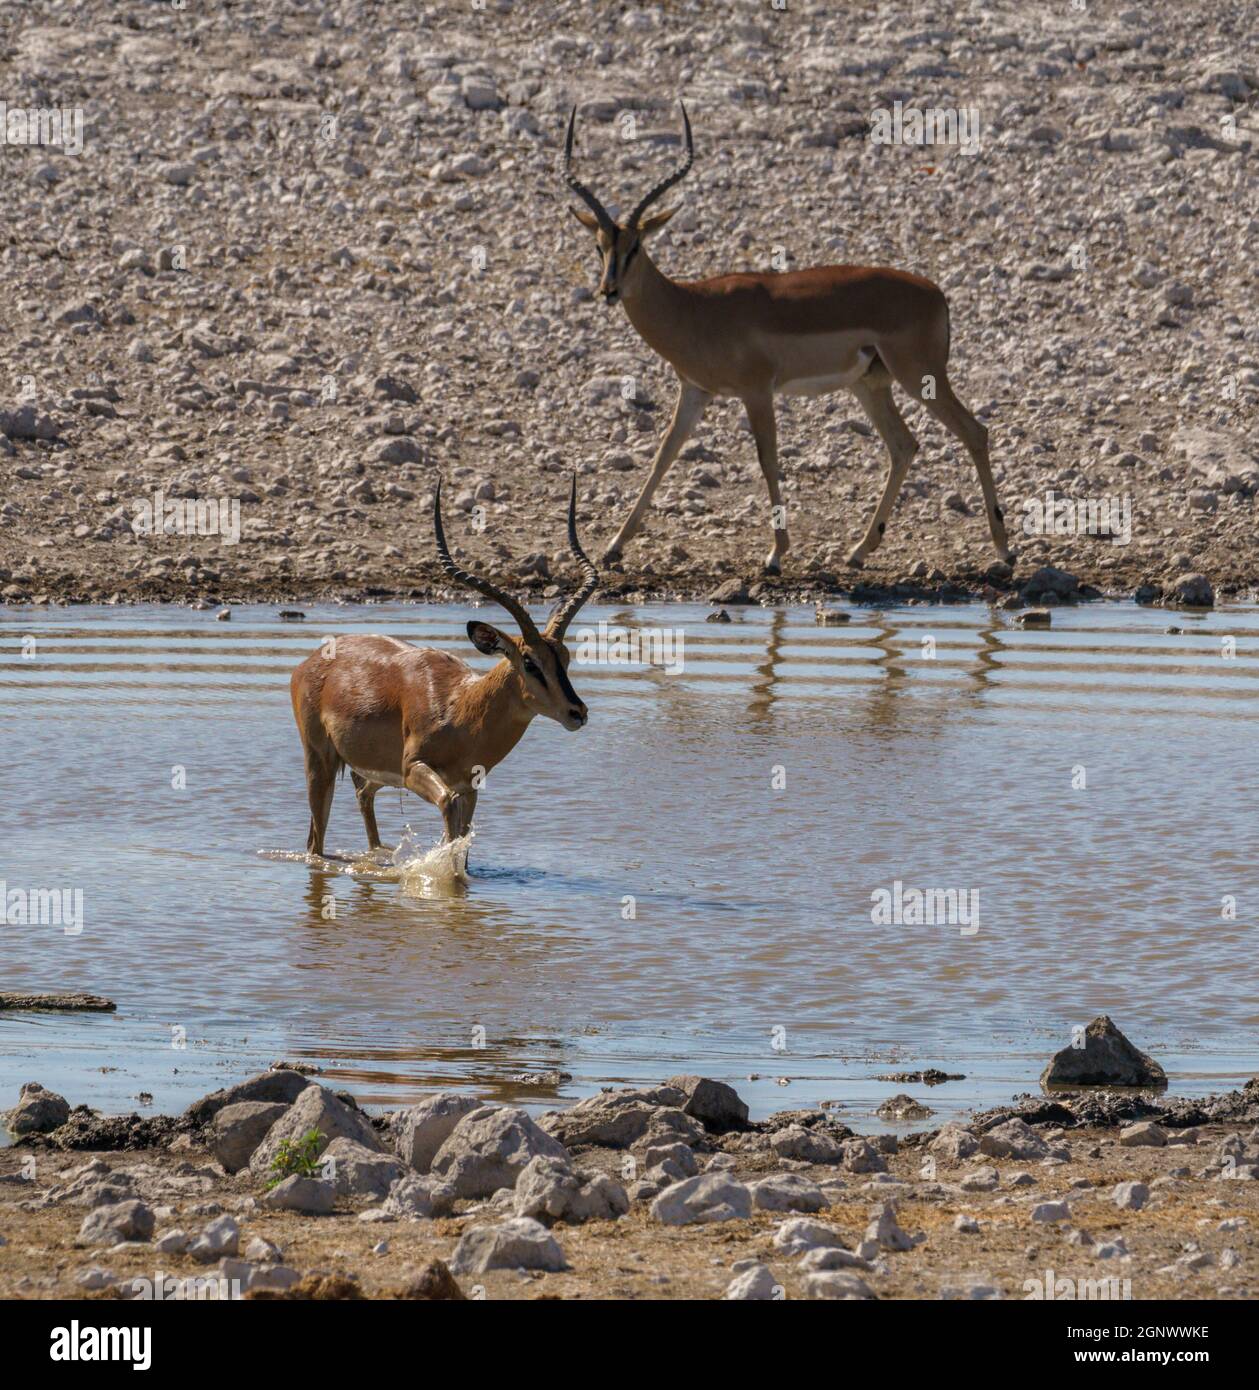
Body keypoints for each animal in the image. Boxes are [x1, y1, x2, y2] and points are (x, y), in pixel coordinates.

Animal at [289, 476, 598, 859]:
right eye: (529, 662)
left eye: (566, 657)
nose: (577, 712)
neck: (461, 708)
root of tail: (309, 663)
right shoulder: (413, 769)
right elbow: (448, 810)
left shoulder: (470, 787)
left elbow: (462, 838)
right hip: (320, 762)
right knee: (315, 843)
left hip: (369, 773)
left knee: (363, 800)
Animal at [562, 104, 1012, 575]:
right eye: (600, 246)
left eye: (636, 247)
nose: (609, 290)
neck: (694, 307)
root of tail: (936, 294)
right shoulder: (695, 391)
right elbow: (662, 458)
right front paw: (613, 546)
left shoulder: (757, 392)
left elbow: (767, 460)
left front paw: (775, 553)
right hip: (870, 385)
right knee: (904, 445)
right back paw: (859, 550)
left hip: (919, 376)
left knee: (975, 432)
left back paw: (1003, 551)